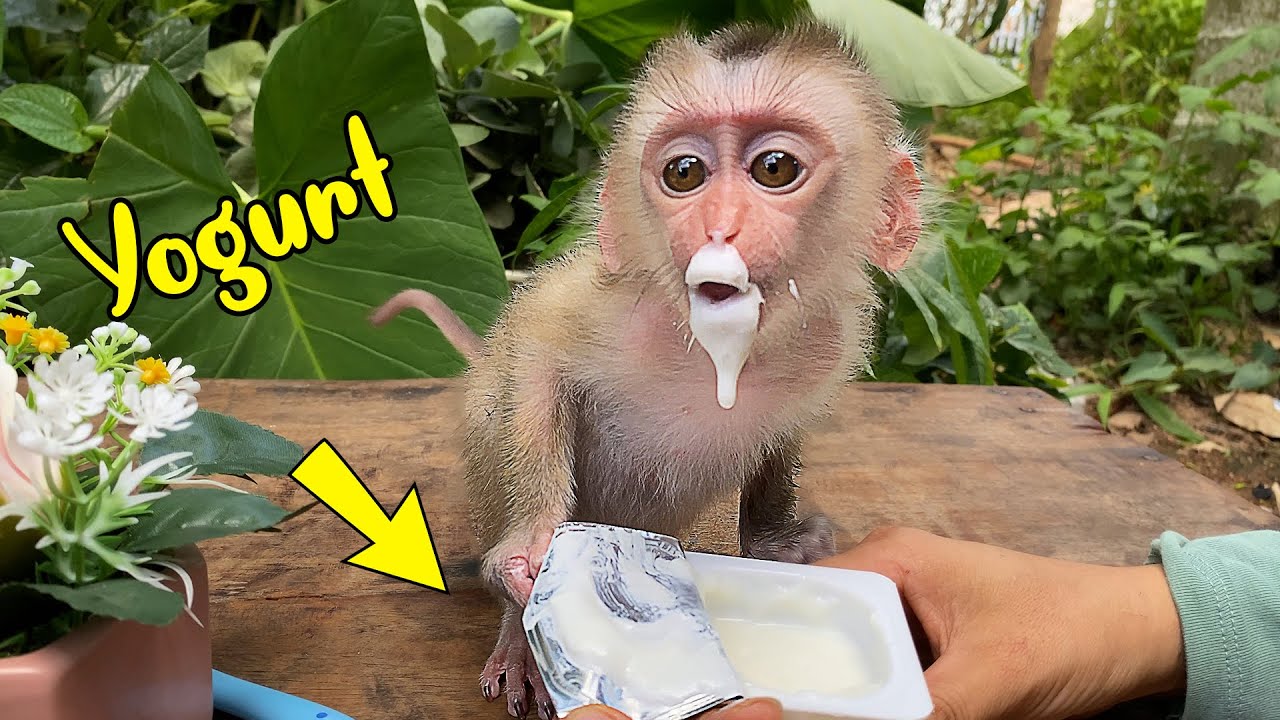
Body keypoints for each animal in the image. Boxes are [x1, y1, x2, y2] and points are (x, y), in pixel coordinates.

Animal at [371, 19, 926, 720]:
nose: (720, 229)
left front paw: (778, 541)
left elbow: (786, 433)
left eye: (775, 168)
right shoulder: (612, 301)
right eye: (684, 173)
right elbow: (536, 355)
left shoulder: (830, 339)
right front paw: (530, 557)